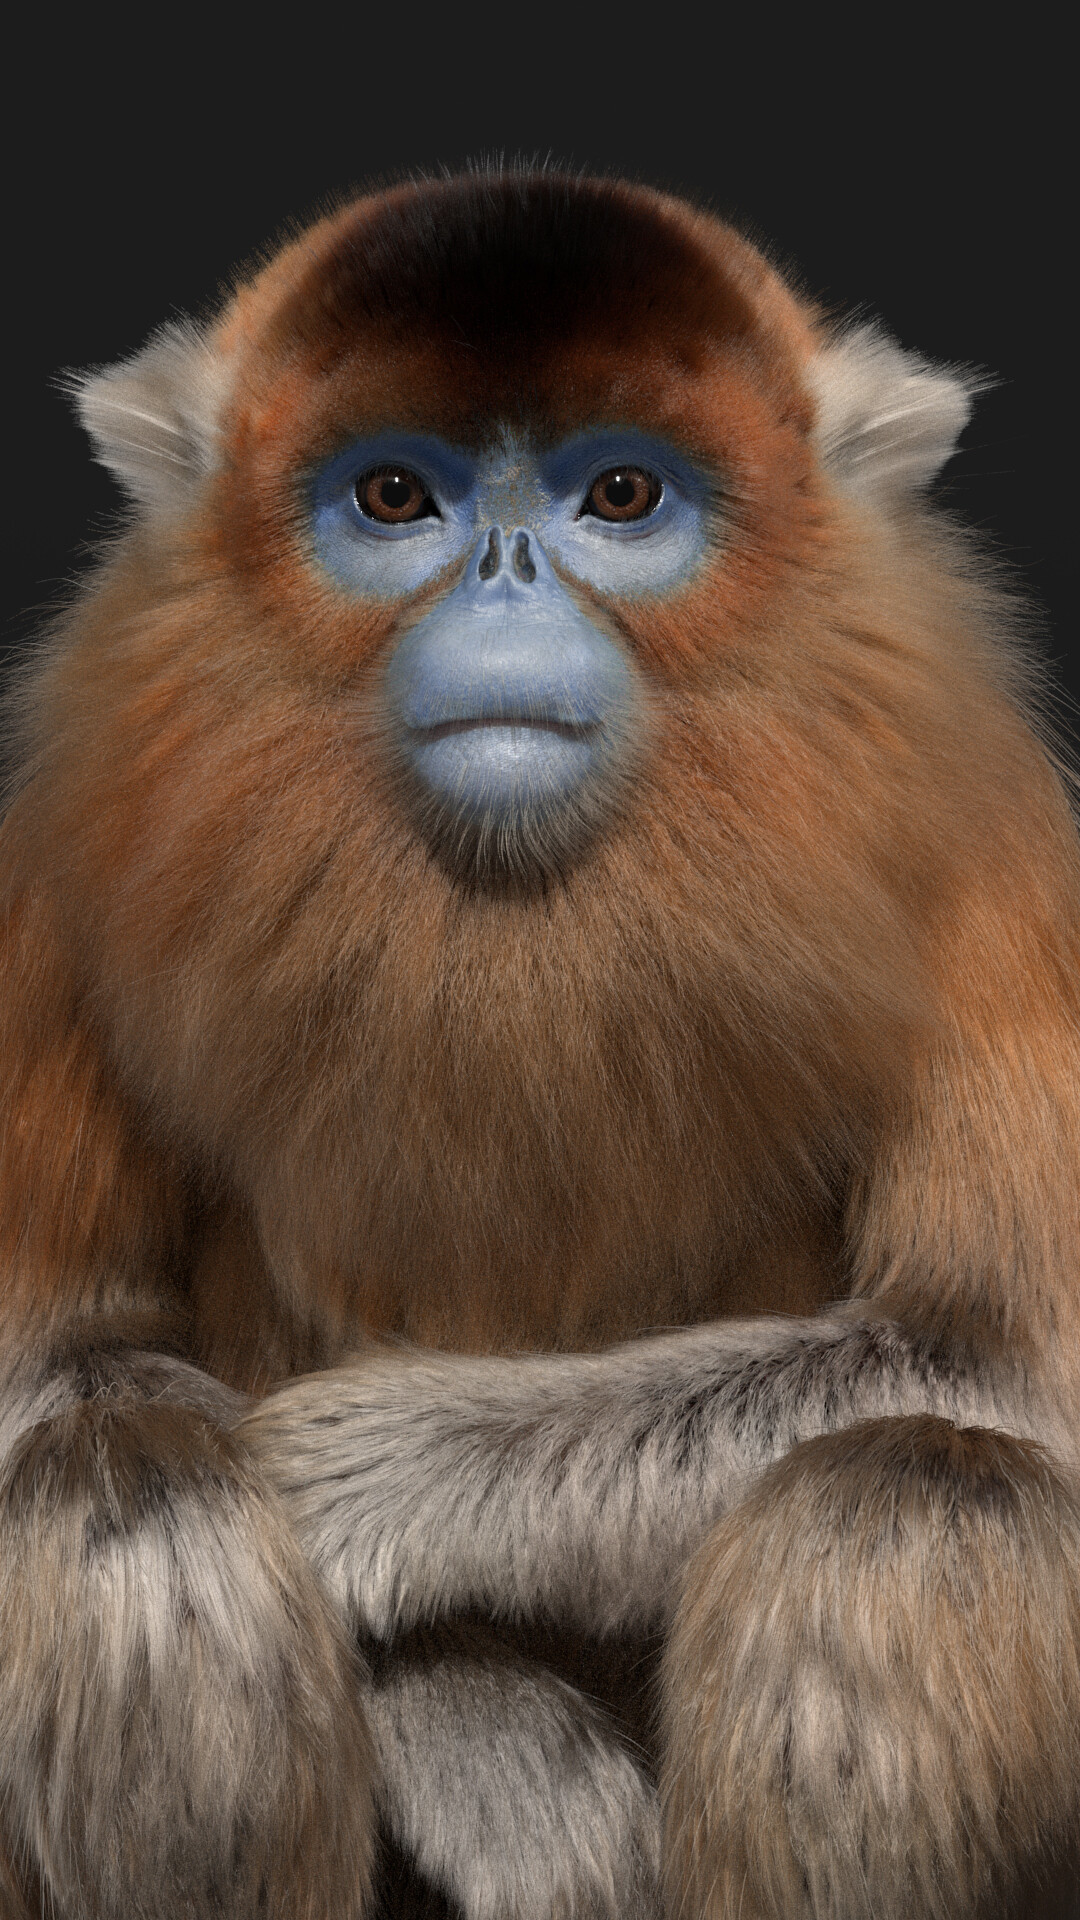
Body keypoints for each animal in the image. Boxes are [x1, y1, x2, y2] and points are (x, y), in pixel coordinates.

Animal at [2, 164, 1079, 1920]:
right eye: (393, 499)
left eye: (622, 496)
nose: (504, 584)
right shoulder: (58, 849)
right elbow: (43, 1377)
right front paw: (485, 1739)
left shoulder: (991, 831)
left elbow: (1001, 1370)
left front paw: (366, 1476)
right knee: (127, 1489)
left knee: (901, 1504)